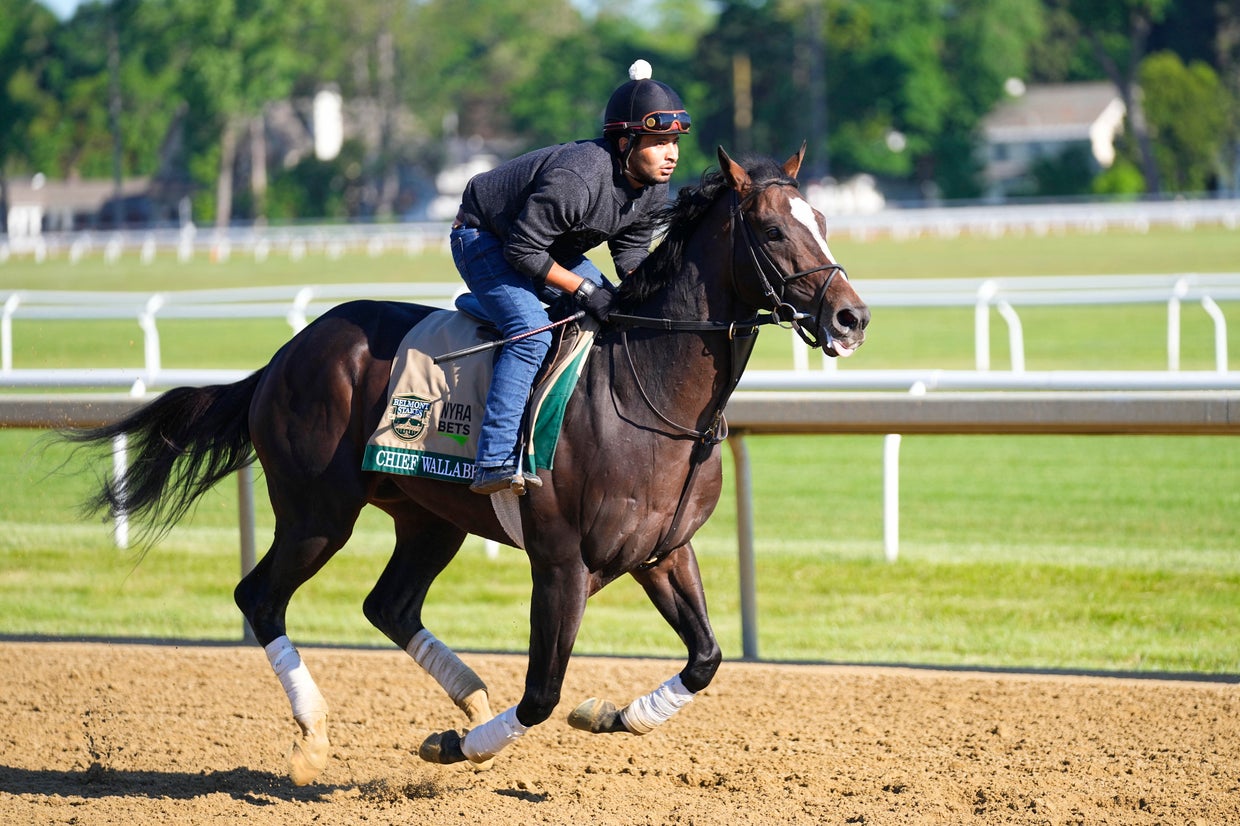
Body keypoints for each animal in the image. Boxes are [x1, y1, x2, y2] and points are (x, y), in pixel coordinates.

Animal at [65, 145, 869, 784]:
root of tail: (285, 356)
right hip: (317, 514)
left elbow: (705, 658)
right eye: (773, 229)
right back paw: (317, 738)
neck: (645, 388)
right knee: (260, 597)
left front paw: (612, 715)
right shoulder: (560, 561)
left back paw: (469, 693)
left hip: (428, 517)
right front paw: (459, 745)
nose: (851, 317)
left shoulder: (662, 551)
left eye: (825, 223)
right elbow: (541, 693)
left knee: (387, 604)